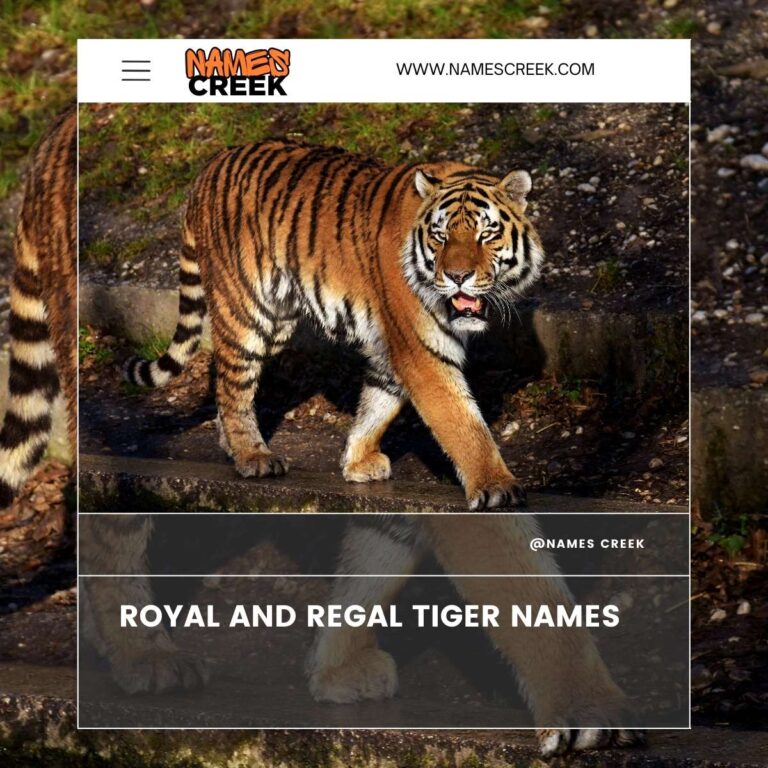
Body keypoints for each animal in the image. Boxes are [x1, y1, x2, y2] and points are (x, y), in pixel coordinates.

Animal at [124, 140, 545, 510]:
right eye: (440, 236)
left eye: (486, 234)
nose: (457, 277)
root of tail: (210, 167)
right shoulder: (421, 349)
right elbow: (463, 424)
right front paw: (496, 487)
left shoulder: (392, 347)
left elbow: (378, 404)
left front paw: (356, 462)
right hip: (245, 311)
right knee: (234, 384)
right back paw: (252, 457)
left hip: (277, 323)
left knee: (227, 381)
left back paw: (231, 445)